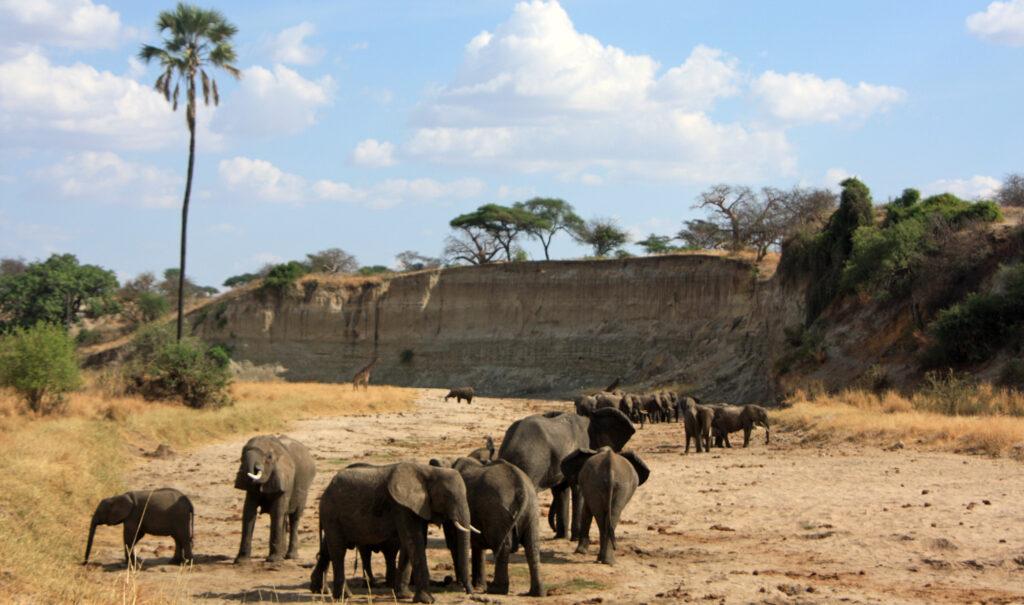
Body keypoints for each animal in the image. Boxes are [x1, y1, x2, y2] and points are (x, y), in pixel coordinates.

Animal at [233, 435, 316, 563]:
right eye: (242, 454)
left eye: (269, 457)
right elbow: (248, 511)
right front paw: (241, 561)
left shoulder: (284, 478)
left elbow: (276, 512)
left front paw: (273, 560)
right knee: (285, 517)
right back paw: (282, 555)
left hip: (304, 488)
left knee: (294, 517)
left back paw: (290, 557)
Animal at [310, 461, 476, 603]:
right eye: (447, 496)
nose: (469, 592)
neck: (429, 471)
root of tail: (326, 490)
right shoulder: (401, 506)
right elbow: (414, 541)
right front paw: (427, 600)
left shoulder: (418, 507)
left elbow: (412, 543)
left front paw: (405, 596)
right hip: (331, 514)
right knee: (338, 551)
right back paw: (343, 596)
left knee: (332, 549)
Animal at [431, 457, 545, 596]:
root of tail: (522, 488)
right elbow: (477, 546)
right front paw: (478, 586)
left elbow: (454, 543)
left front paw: (461, 585)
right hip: (532, 508)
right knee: (532, 545)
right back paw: (536, 593)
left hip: (497, 511)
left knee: (503, 545)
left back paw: (495, 590)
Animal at [497, 408, 635, 541]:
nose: (553, 530)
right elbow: (578, 489)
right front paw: (575, 538)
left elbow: (561, 490)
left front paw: (561, 537)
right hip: (531, 462)